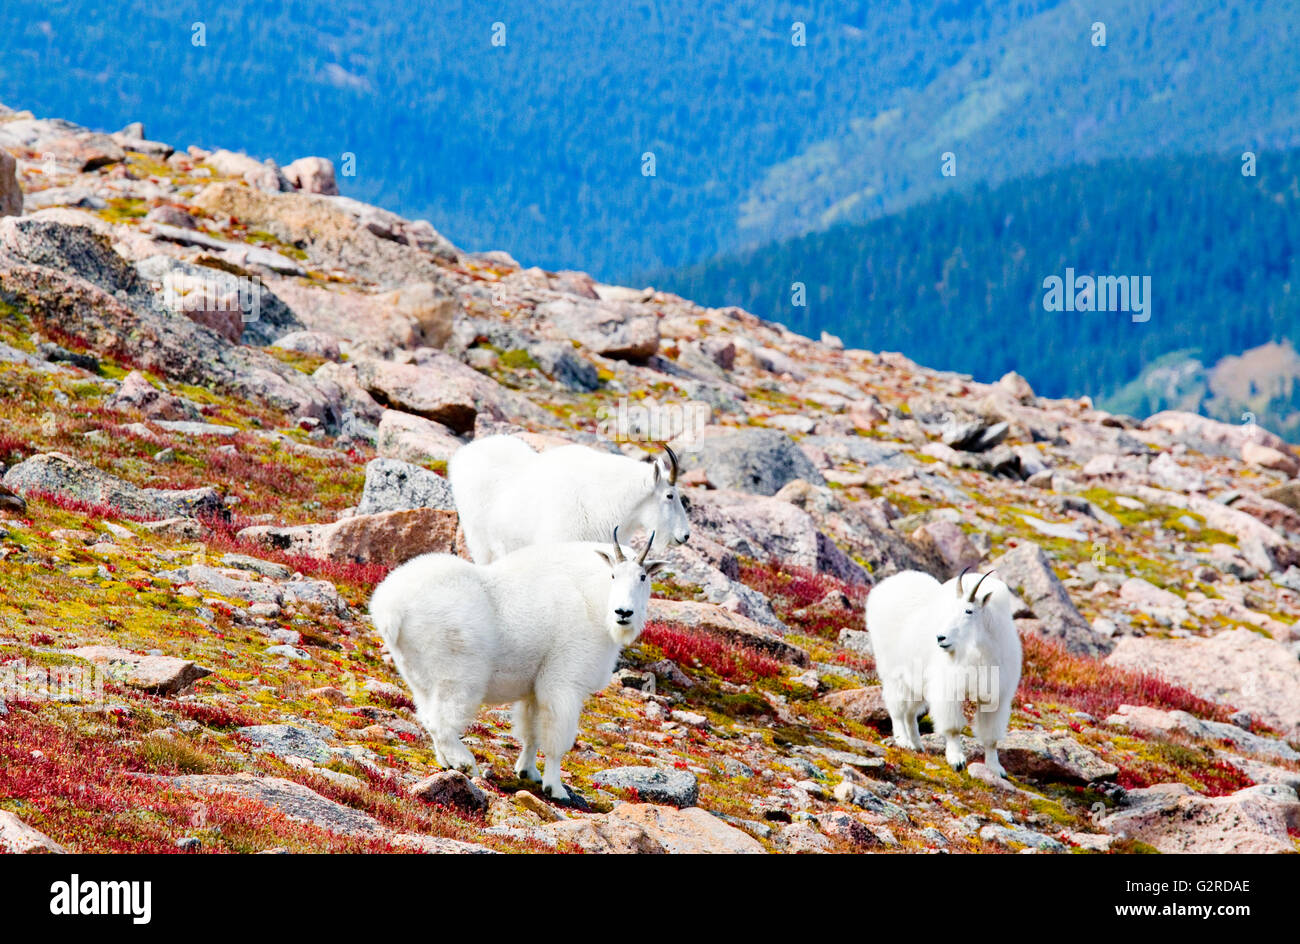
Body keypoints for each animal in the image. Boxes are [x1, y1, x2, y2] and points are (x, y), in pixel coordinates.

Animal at [369, 527, 665, 800]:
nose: (623, 612)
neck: (591, 597)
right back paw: (465, 763)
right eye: (613, 575)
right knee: (441, 721)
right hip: (458, 676)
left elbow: (530, 731)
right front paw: (555, 788)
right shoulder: (563, 682)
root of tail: (390, 608)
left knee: (428, 716)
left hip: (419, 675)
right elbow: (556, 740)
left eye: (643, 577)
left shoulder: (534, 686)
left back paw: (447, 762)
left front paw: (528, 771)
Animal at [868, 569, 1019, 774]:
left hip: (916, 680)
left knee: (910, 712)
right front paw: (957, 760)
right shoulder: (949, 689)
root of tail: (882, 587)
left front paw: (996, 768)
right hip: (894, 673)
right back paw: (903, 741)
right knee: (897, 709)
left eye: (969, 611)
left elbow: (991, 737)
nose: (940, 638)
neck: (979, 650)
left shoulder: (995, 697)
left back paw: (917, 745)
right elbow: (953, 728)